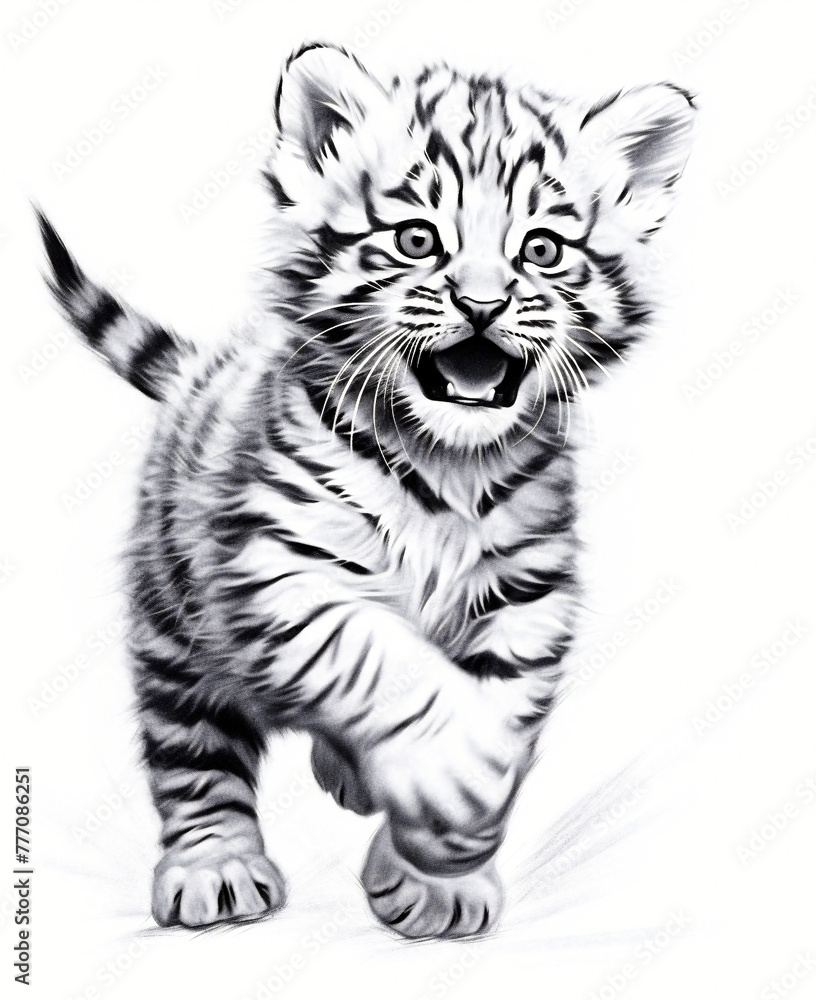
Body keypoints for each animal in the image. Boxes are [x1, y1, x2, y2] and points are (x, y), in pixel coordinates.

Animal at [38, 42, 695, 939]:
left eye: (541, 250)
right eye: (417, 238)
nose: (481, 305)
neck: (452, 463)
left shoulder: (529, 594)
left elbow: (505, 710)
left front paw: (440, 868)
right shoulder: (283, 565)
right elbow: (380, 661)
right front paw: (460, 769)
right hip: (173, 631)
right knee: (194, 755)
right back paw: (216, 870)